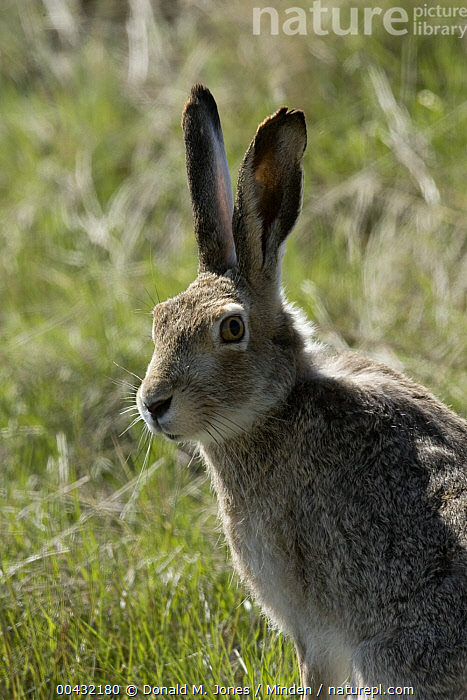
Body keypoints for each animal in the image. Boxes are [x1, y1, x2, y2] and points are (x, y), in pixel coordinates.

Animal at [136, 85, 467, 698]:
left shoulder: (313, 630)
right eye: (159, 319)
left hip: (392, 664)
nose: (153, 404)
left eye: (231, 329)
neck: (275, 407)